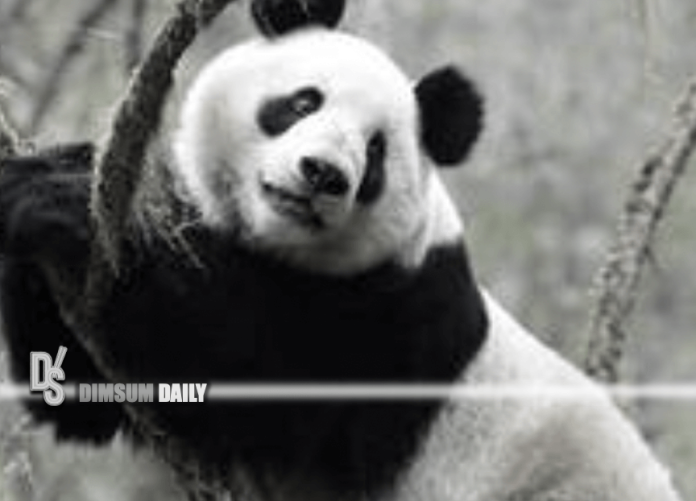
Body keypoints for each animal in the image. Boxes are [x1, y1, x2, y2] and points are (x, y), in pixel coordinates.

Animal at [0, 16, 682, 501]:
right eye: (303, 102)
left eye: (375, 152)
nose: (323, 174)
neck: (276, 251)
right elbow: (85, 399)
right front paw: (51, 175)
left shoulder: (392, 320)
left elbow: (247, 378)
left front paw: (65, 209)